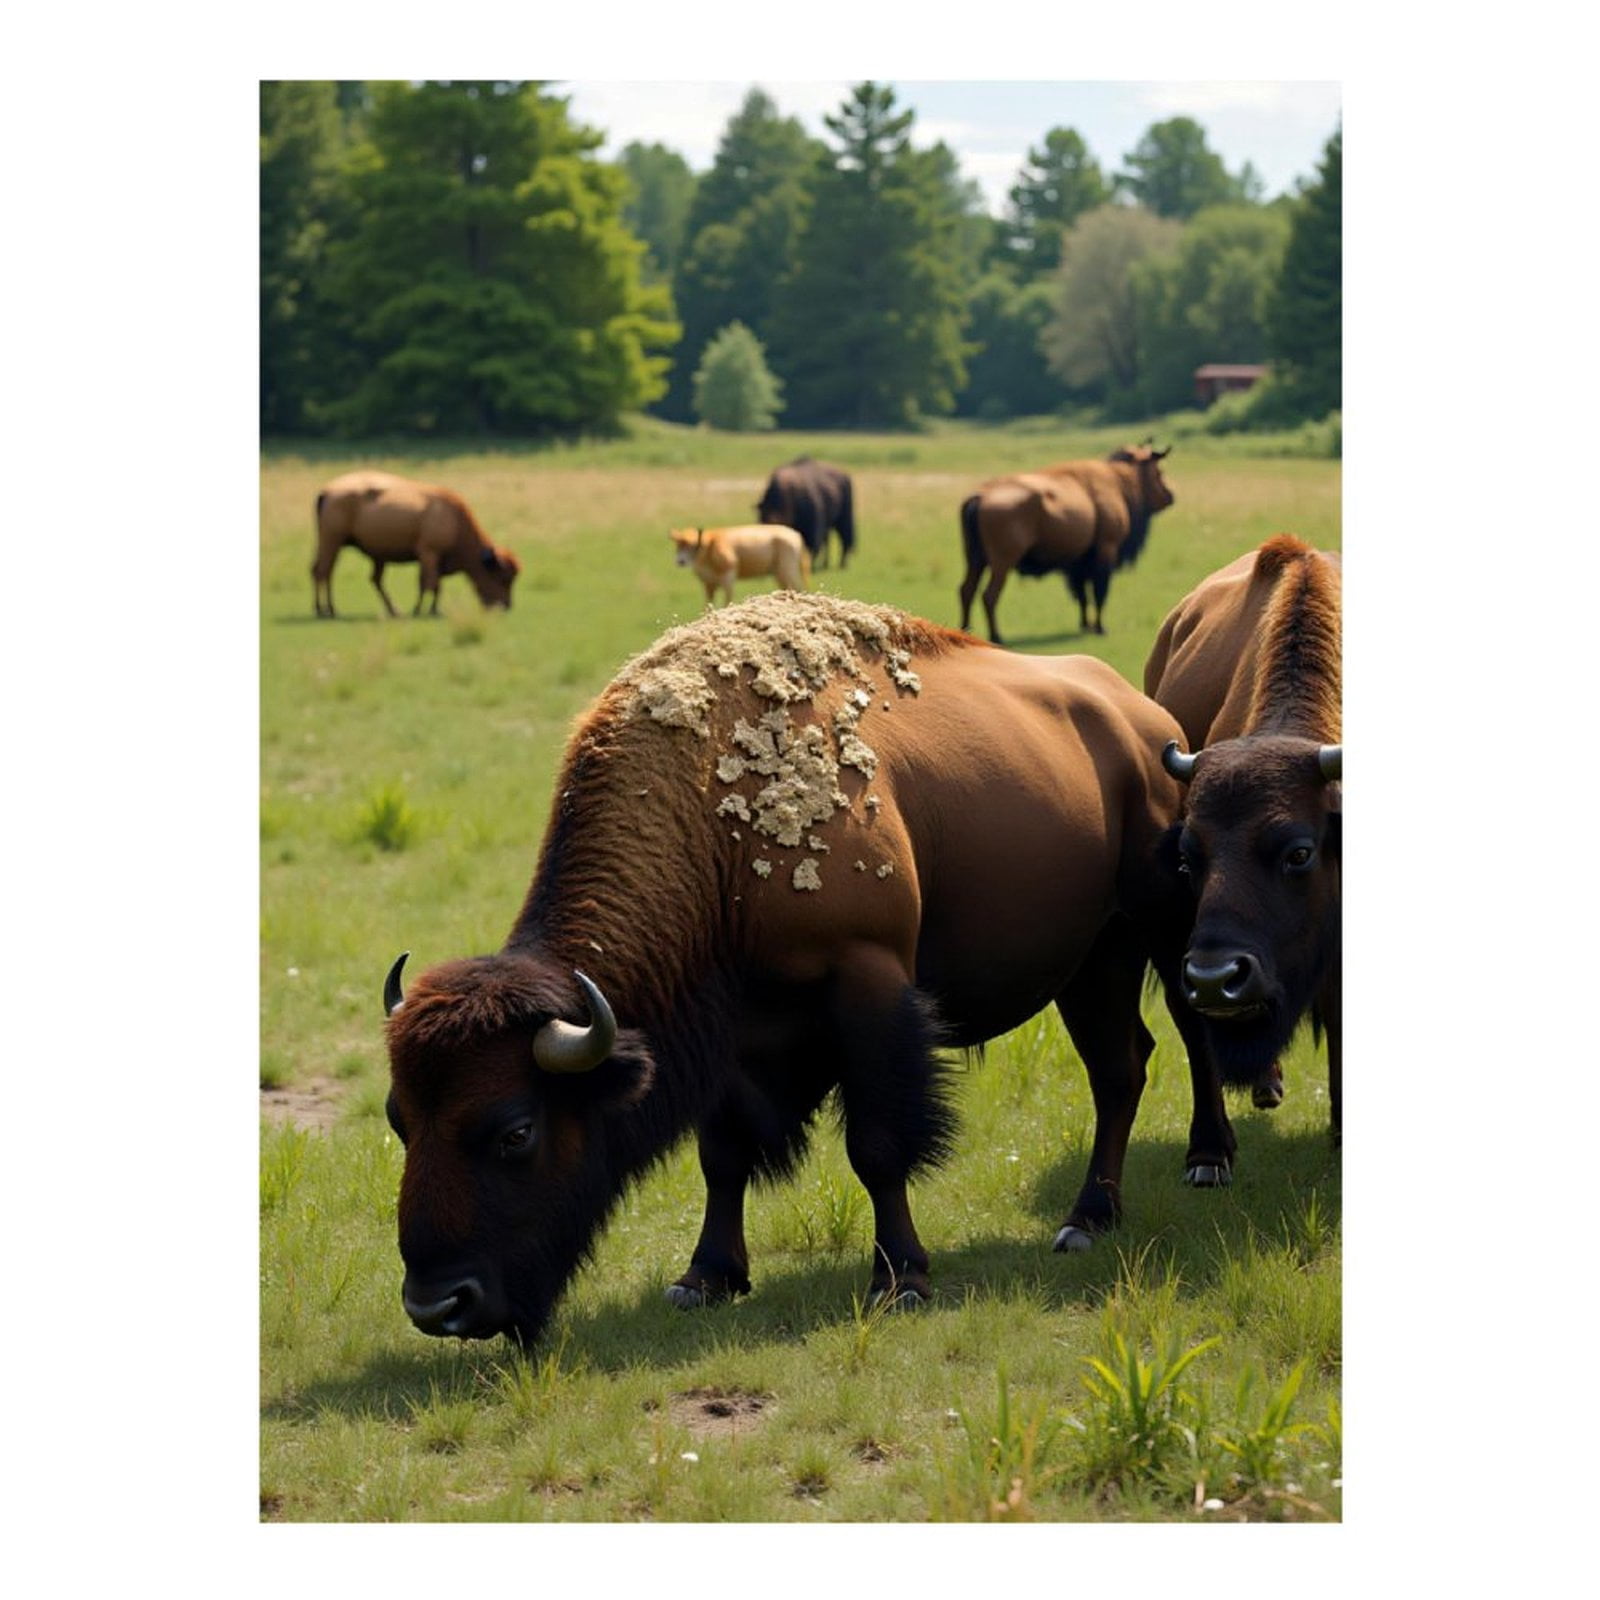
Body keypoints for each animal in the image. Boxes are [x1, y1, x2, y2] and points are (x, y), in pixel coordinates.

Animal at [312, 470, 520, 619]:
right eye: (502, 577)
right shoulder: (429, 553)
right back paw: (329, 611)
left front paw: (424, 609)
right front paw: (428, 610)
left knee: (328, 572)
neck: (454, 520)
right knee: (325, 571)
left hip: (342, 547)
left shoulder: (430, 559)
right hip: (333, 541)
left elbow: (429, 584)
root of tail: (327, 492)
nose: (506, 606)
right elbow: (430, 583)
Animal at [380, 589, 1205, 1347]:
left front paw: (900, 1278)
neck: (712, 824)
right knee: (1122, 1065)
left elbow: (877, 1145)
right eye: (398, 1118)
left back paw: (1154, 1187)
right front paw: (706, 1277)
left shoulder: (869, 988)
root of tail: (1144, 719)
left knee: (1180, 1043)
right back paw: (1093, 1216)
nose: (437, 1306)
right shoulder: (726, 1033)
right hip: (1092, 962)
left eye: (515, 1131)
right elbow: (722, 1156)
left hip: (1163, 935)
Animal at [670, 524, 810, 605]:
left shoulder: (728, 578)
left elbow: (727, 601)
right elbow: (708, 604)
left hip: (786, 570)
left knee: (797, 588)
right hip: (780, 574)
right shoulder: (708, 583)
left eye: (692, 545)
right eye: (678, 545)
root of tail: (796, 535)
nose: (680, 561)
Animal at [957, 445, 1175, 645]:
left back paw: (965, 631)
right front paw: (1100, 628)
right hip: (1002, 562)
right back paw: (996, 636)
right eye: (1158, 472)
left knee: (967, 590)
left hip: (975, 559)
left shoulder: (1078, 563)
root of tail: (981, 496)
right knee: (989, 595)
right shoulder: (1106, 549)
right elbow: (1099, 591)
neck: (1119, 480)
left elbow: (1082, 595)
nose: (1170, 495)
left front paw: (1085, 625)